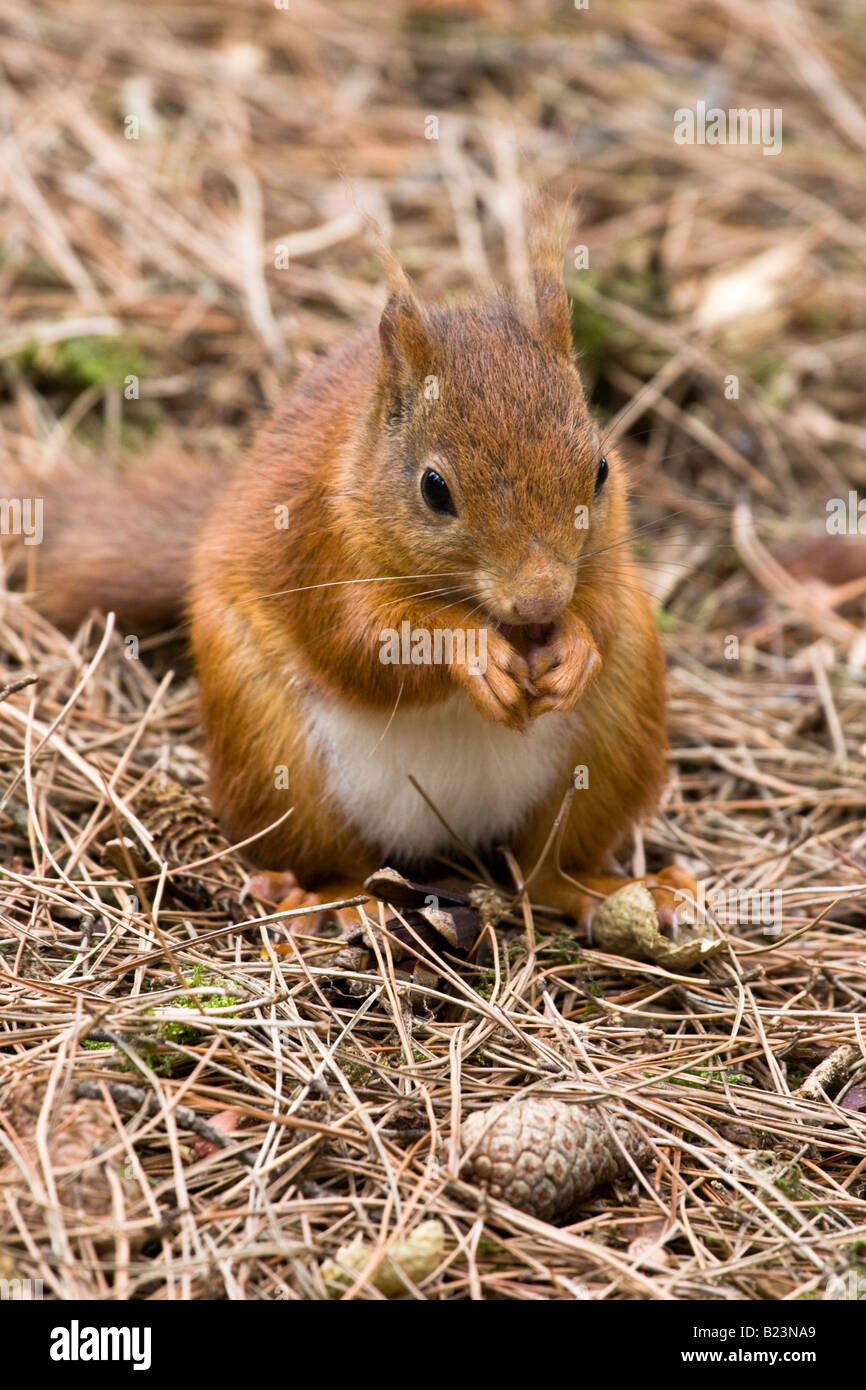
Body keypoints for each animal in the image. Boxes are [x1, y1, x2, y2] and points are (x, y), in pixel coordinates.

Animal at [4, 250, 696, 931]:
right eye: (435, 489)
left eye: (601, 469)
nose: (540, 602)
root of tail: (451, 830)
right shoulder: (318, 541)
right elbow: (360, 642)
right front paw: (470, 651)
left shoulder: (611, 559)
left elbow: (604, 606)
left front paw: (574, 647)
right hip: (269, 744)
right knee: (331, 855)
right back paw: (331, 904)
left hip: (617, 732)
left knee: (547, 870)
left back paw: (617, 890)